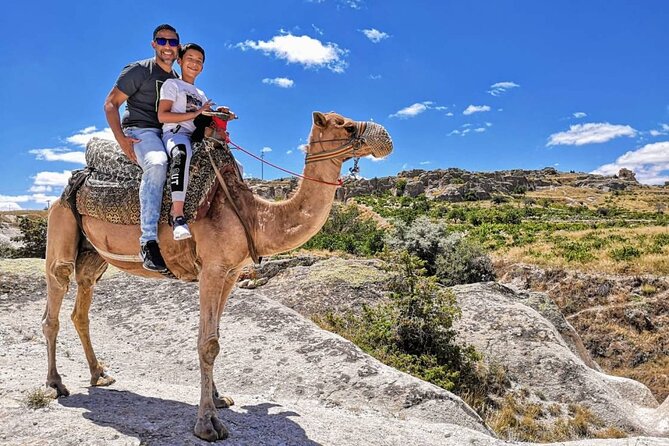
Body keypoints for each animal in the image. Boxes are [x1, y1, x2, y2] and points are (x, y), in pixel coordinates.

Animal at [42, 111, 393, 441]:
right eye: (345, 125)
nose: (385, 137)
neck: (253, 215)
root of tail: (73, 182)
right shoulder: (211, 269)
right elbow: (207, 343)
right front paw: (208, 424)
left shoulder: (231, 272)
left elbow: (217, 337)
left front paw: (218, 397)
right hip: (61, 225)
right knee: (55, 298)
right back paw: (56, 383)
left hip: (93, 255)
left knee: (82, 305)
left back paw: (99, 374)